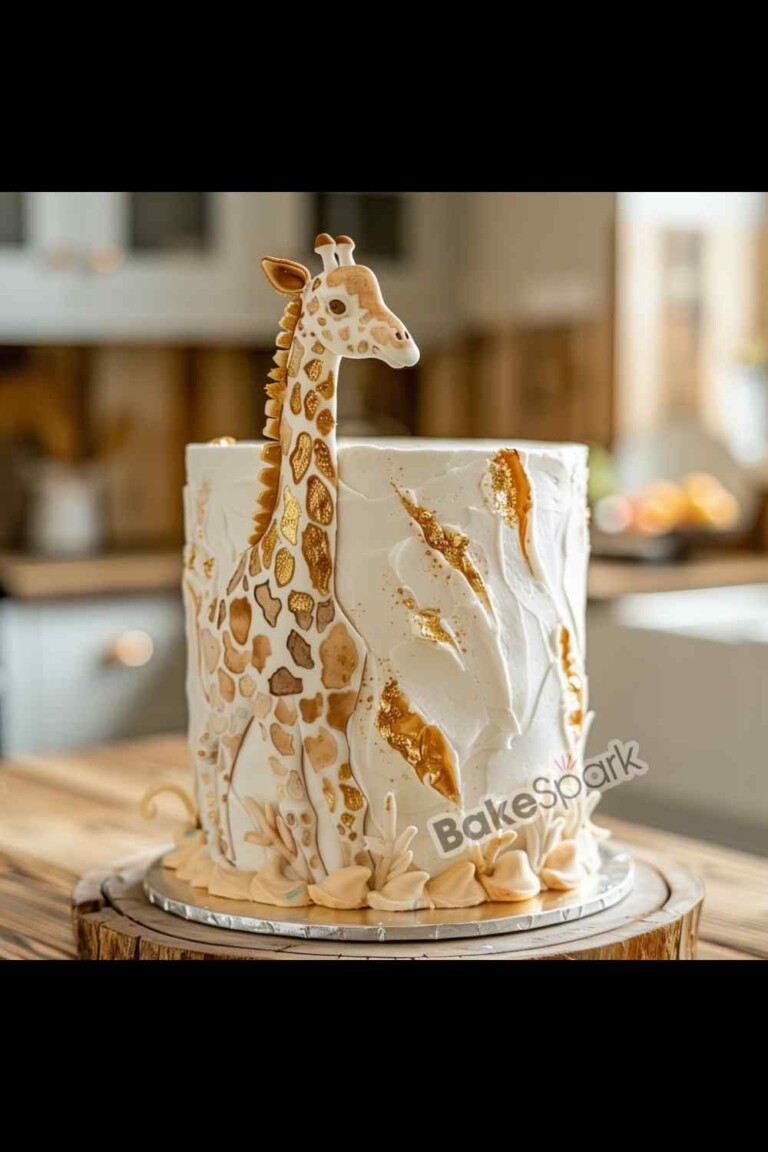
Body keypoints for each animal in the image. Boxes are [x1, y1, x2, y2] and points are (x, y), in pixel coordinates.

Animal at [187, 233, 419, 885]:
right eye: (336, 305)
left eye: (380, 290)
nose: (404, 343)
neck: (314, 586)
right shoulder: (282, 716)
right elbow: (298, 809)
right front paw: (317, 887)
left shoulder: (329, 715)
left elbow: (350, 803)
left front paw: (358, 885)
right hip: (224, 696)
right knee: (207, 752)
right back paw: (223, 859)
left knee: (222, 761)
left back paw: (226, 856)